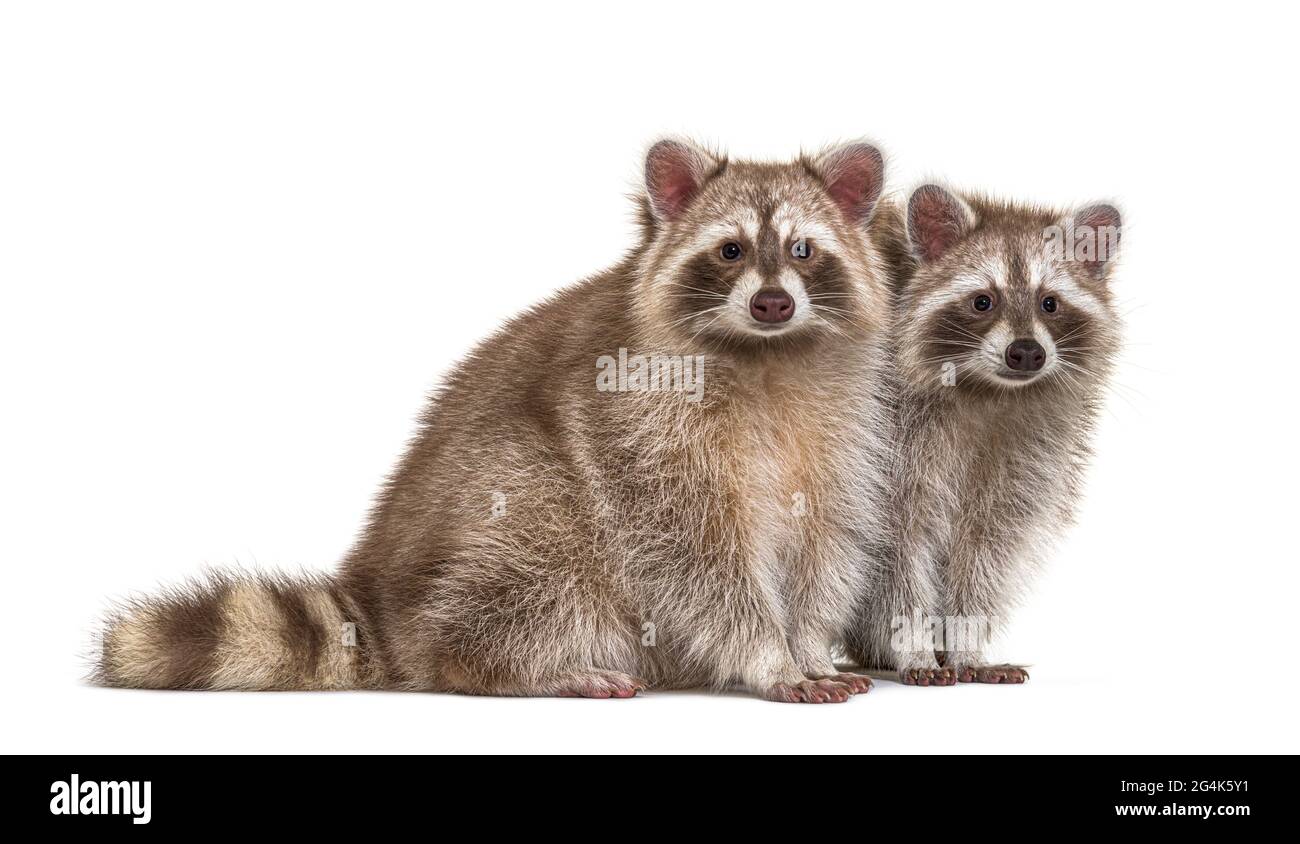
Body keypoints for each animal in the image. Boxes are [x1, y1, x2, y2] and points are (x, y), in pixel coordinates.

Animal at [96, 139, 896, 702]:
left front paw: (809, 643)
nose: (772, 302)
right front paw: (769, 656)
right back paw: (516, 666)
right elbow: (694, 555)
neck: (766, 356)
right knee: (541, 538)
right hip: (509, 512)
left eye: (803, 249)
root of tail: (379, 587)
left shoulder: (843, 429)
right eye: (730, 250)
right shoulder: (639, 424)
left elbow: (827, 539)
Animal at [847, 184, 1122, 684]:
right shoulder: (885, 439)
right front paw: (912, 646)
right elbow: (895, 556)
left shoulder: (1032, 450)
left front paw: (966, 644)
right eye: (982, 301)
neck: (989, 392)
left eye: (1050, 302)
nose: (1026, 352)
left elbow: (986, 550)